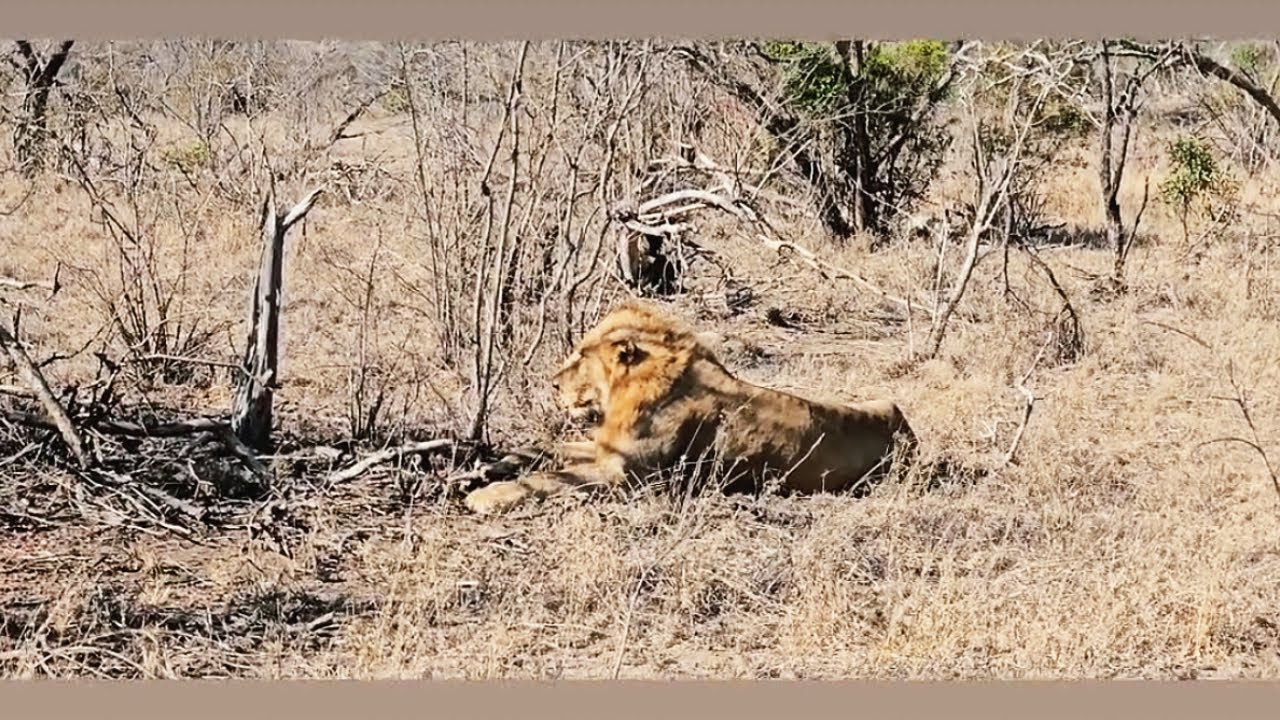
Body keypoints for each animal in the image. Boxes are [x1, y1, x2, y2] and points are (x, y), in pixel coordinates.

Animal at [463, 301, 918, 515]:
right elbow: (547, 449)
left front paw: (487, 495)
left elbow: (551, 477)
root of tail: (907, 430)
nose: (554, 383)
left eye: (580, 357)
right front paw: (492, 465)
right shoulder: (608, 448)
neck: (630, 389)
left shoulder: (627, 476)